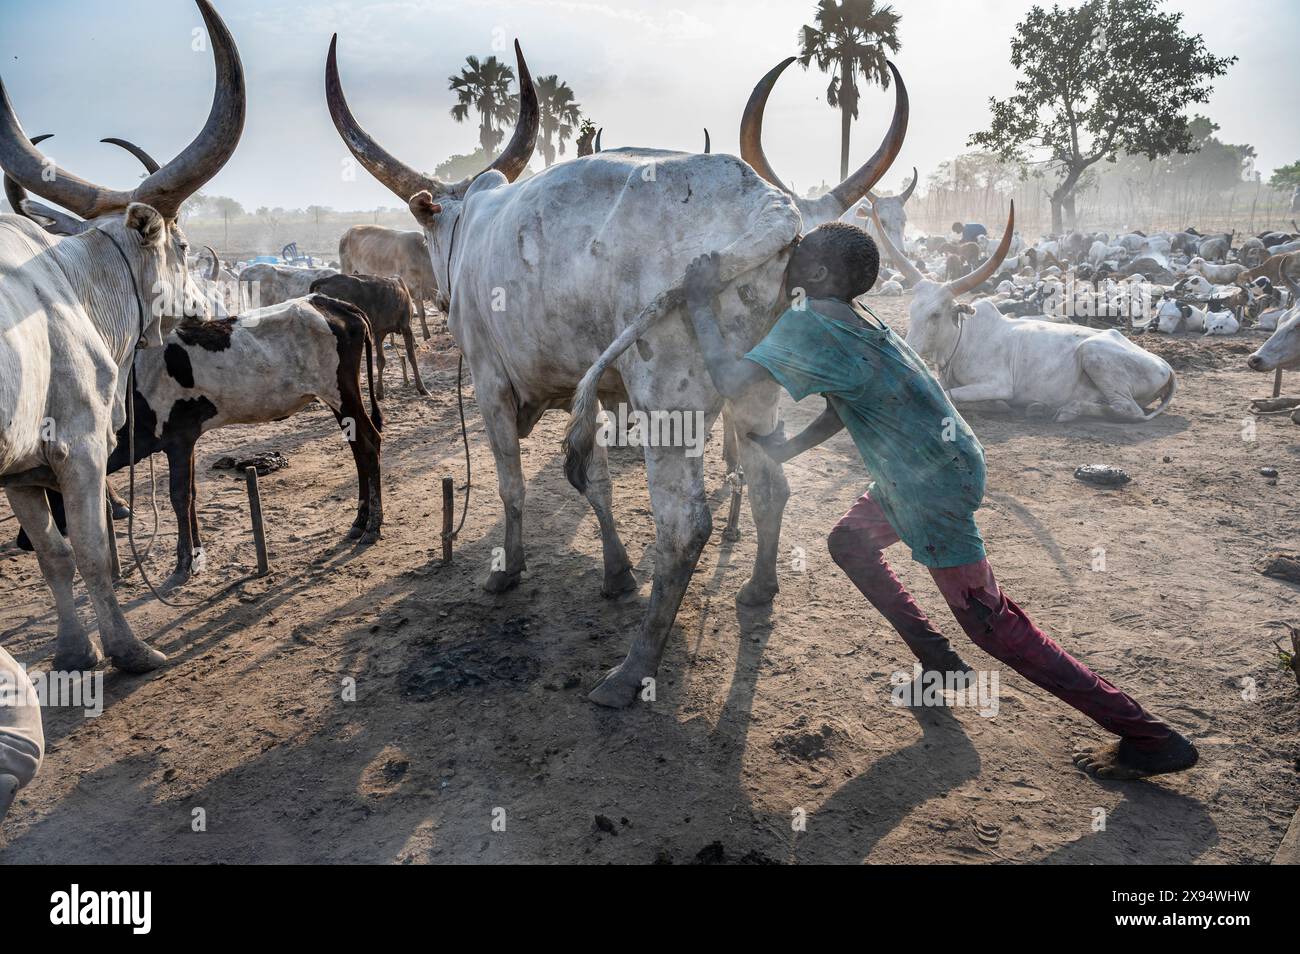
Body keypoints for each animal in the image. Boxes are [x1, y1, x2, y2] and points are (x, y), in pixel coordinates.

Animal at [0, 0, 243, 673]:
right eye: (181, 245)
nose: (210, 310)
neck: (71, 285)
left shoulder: (22, 473)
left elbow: (56, 557)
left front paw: (73, 651)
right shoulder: (76, 449)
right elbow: (91, 555)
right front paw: (128, 650)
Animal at [327, 38, 908, 706]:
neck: (474, 223)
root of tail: (773, 208)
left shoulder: (491, 385)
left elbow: (512, 486)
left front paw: (509, 569)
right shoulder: (592, 391)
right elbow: (594, 482)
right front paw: (616, 572)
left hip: (667, 402)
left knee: (685, 528)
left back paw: (632, 670)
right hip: (756, 391)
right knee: (771, 483)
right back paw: (759, 589)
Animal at [871, 204, 1177, 423]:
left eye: (935, 315)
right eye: (912, 311)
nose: (908, 349)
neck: (962, 340)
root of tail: (1166, 366)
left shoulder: (997, 383)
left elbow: (949, 395)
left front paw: (997, 405)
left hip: (1093, 353)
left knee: (1128, 410)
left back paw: (1067, 410)